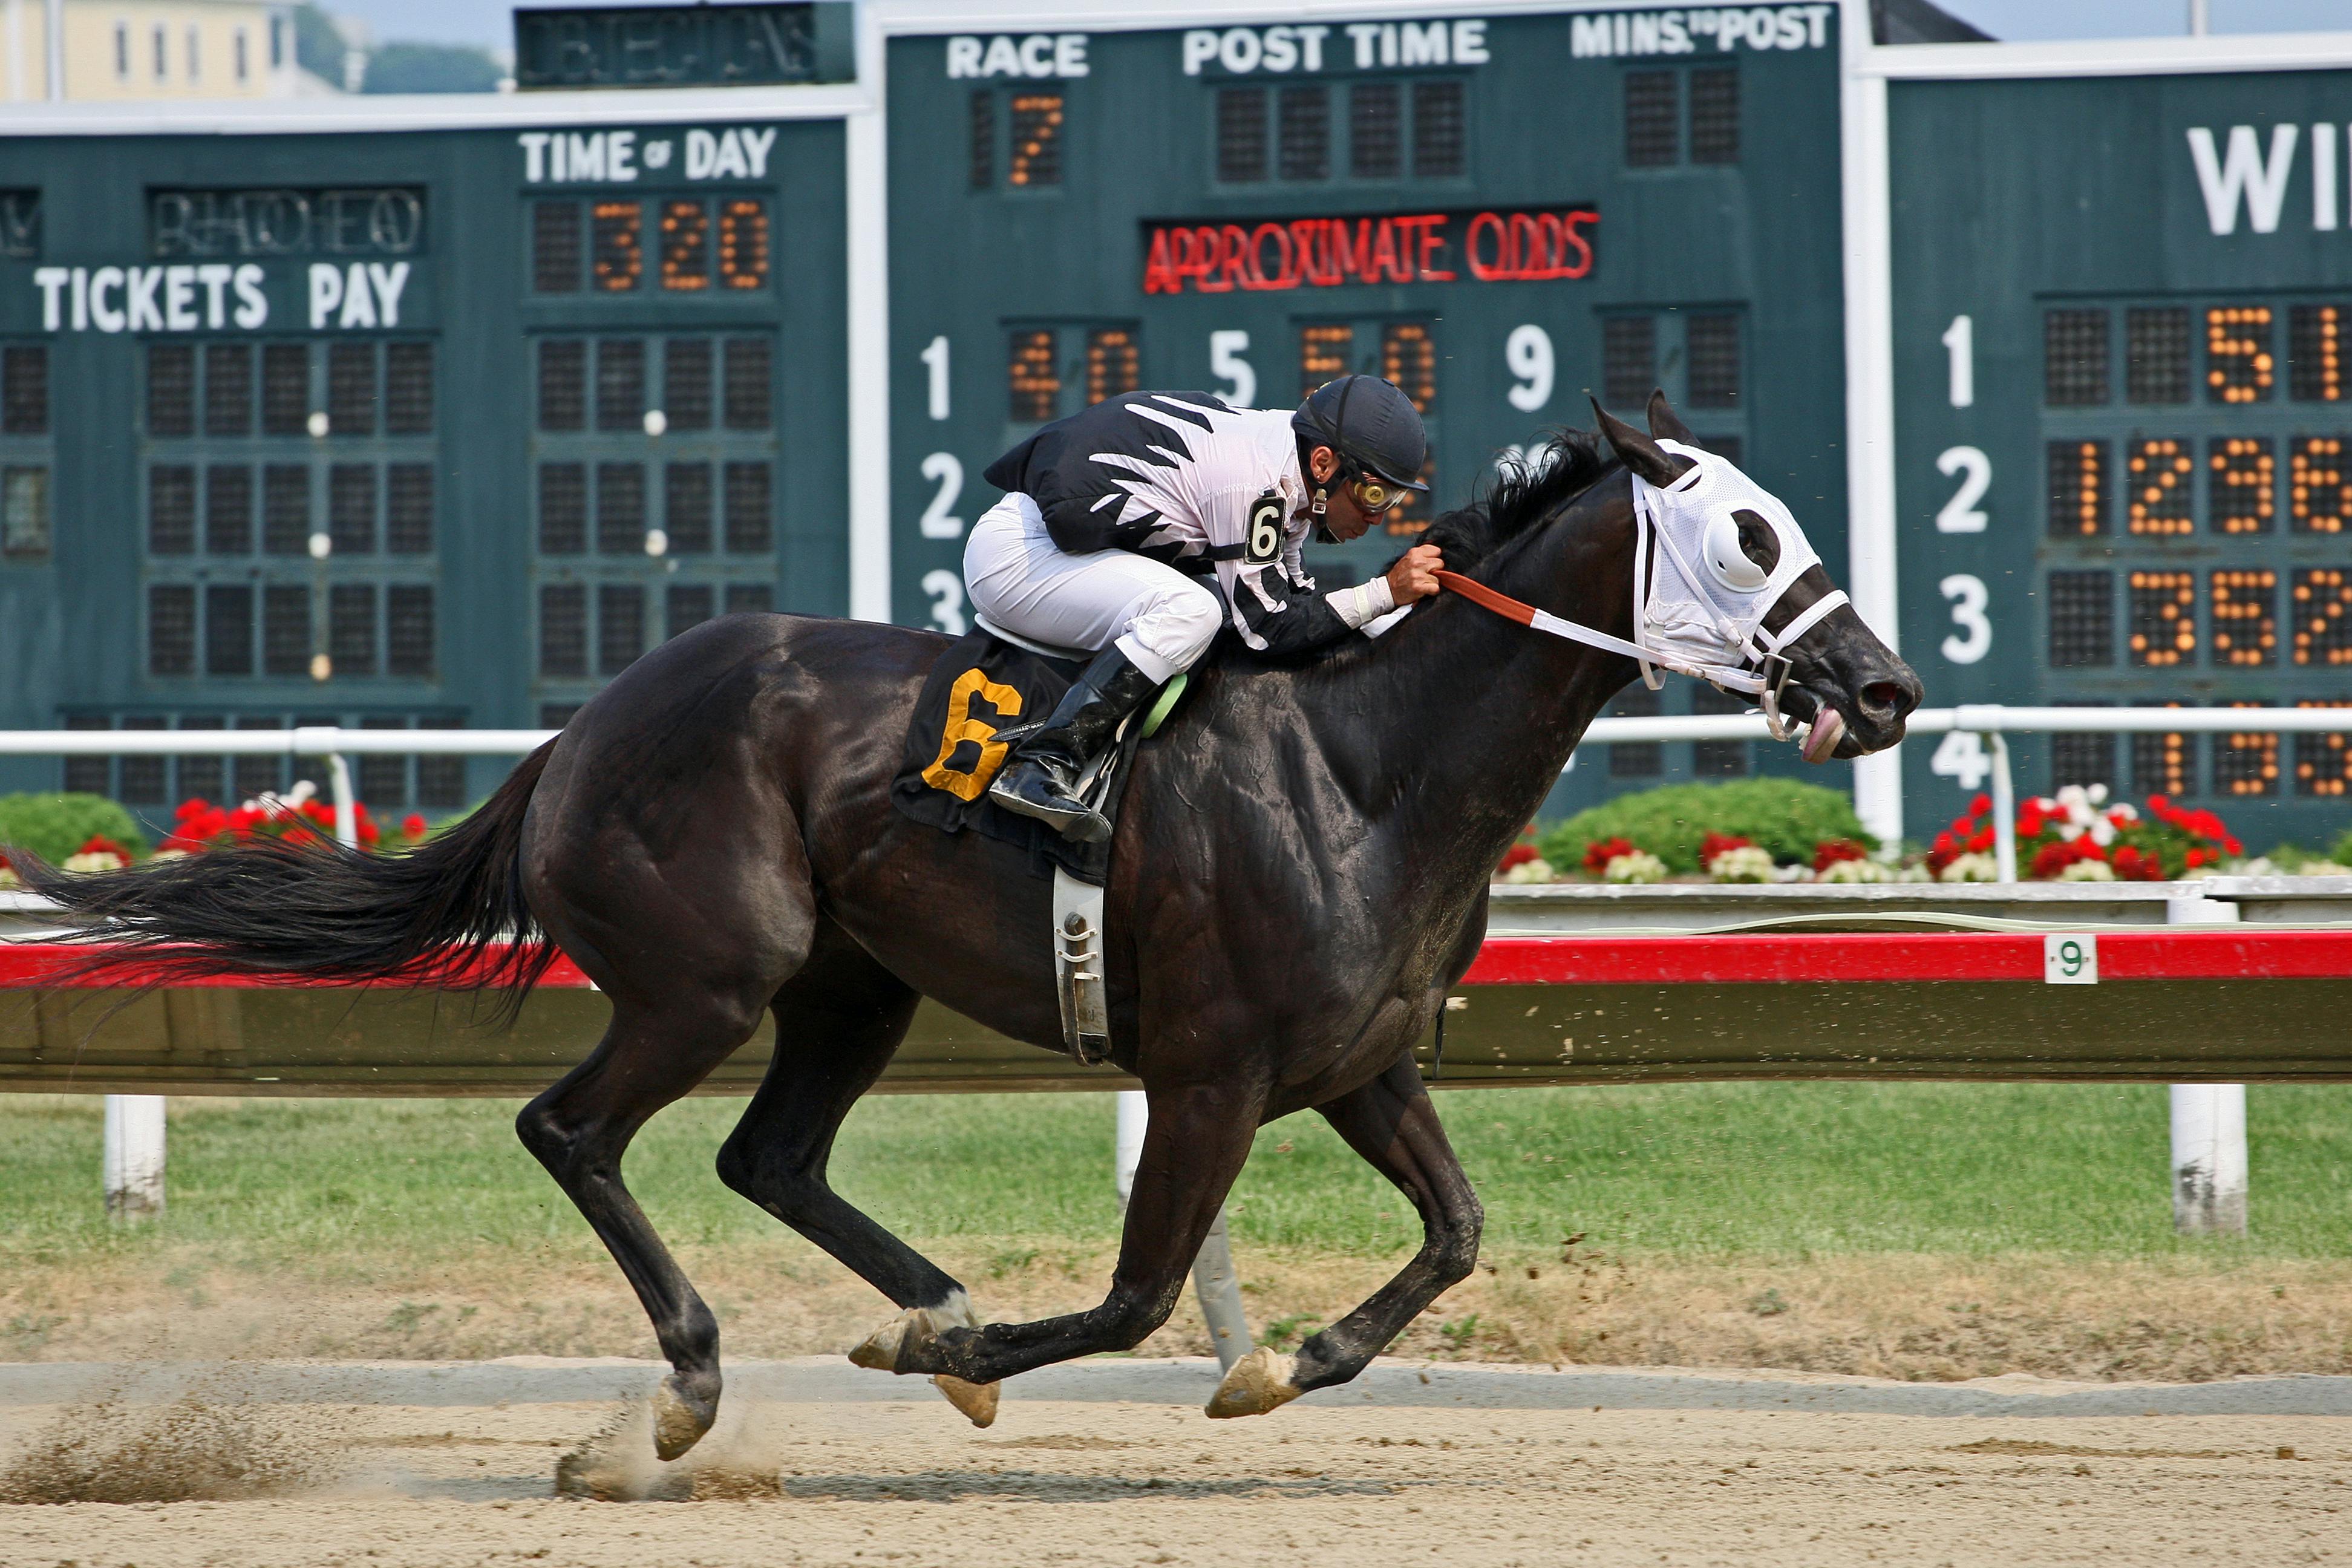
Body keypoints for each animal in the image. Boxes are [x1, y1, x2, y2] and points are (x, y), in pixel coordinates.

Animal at [24, 394, 1920, 1458]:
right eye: (1749, 536)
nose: (1884, 688)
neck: (1363, 760)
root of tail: (584, 727)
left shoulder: (1355, 1066)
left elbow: (1456, 1234)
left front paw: (1292, 1358)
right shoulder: (1213, 1073)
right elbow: (1141, 1298)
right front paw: (1033, 1358)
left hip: (850, 988)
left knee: (769, 1158)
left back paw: (922, 1309)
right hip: (708, 976)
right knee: (571, 1131)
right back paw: (701, 1383)